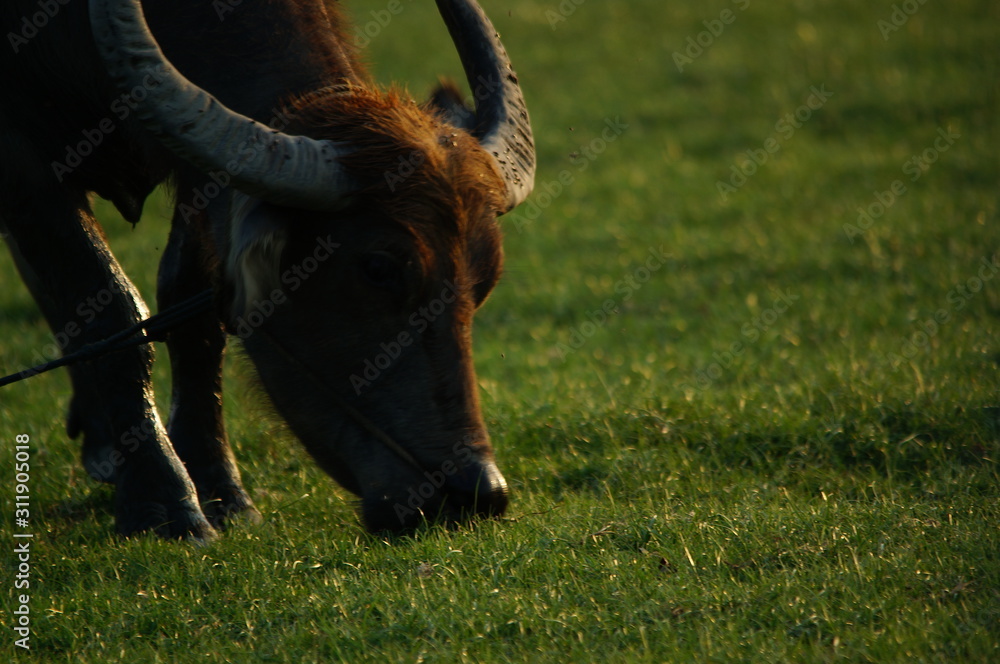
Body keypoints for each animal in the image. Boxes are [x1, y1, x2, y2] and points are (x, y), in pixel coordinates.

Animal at [0, 0, 535, 541]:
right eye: (378, 267)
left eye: (485, 278)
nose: (476, 492)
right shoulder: (22, 156)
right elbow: (110, 305)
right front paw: (166, 504)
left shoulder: (202, 183)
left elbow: (192, 312)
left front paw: (221, 491)